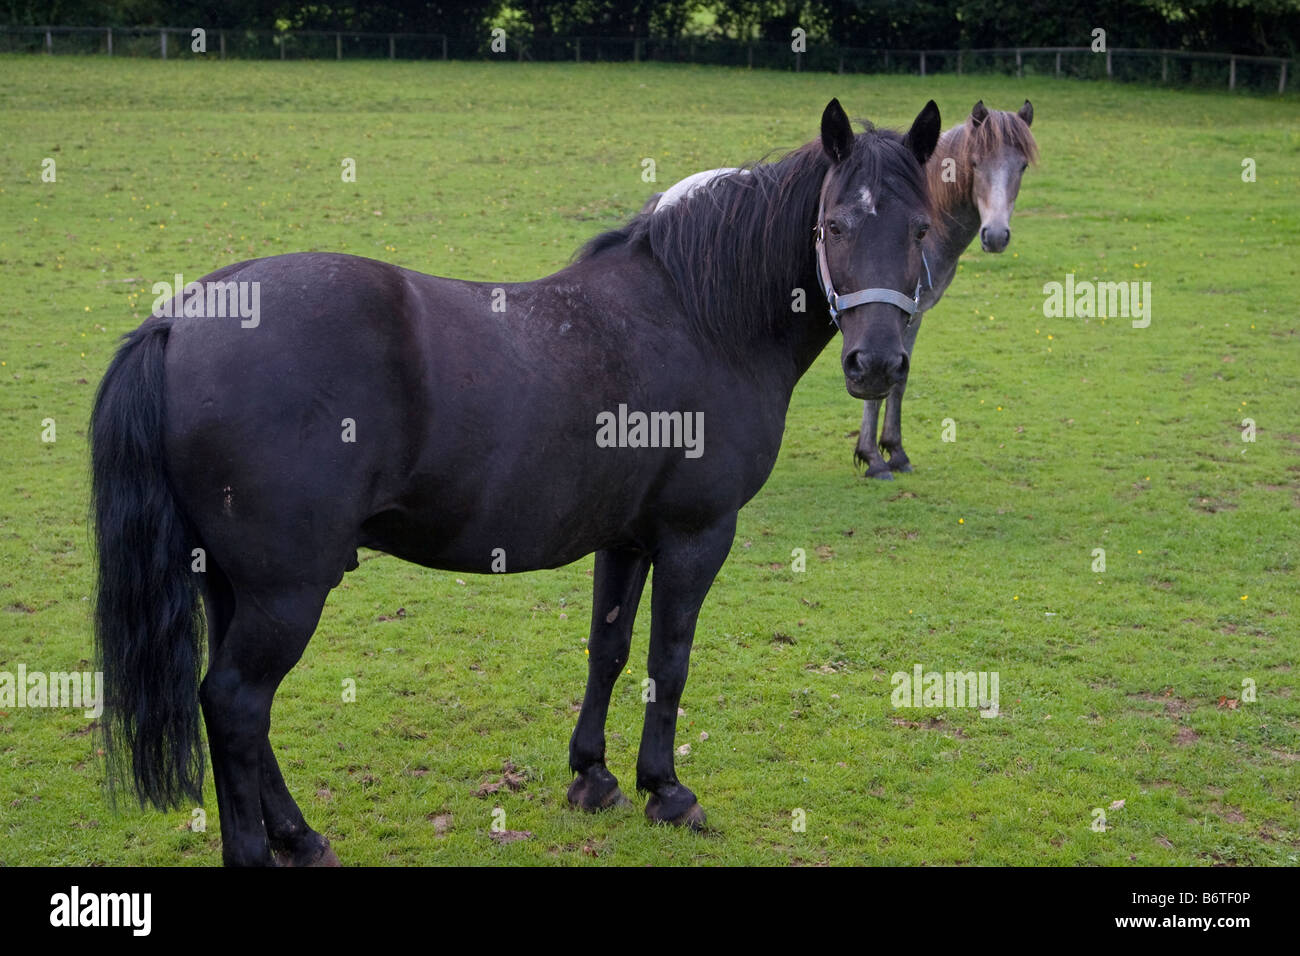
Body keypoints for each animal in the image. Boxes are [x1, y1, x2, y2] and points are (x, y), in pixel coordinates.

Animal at [90, 97, 940, 866]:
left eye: (922, 230)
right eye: (835, 227)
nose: (877, 365)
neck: (698, 317)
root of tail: (179, 320)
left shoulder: (626, 540)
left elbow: (610, 650)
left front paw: (594, 776)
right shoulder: (696, 536)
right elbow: (669, 660)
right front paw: (666, 790)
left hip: (233, 584)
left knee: (238, 708)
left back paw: (300, 837)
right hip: (286, 591)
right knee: (236, 704)